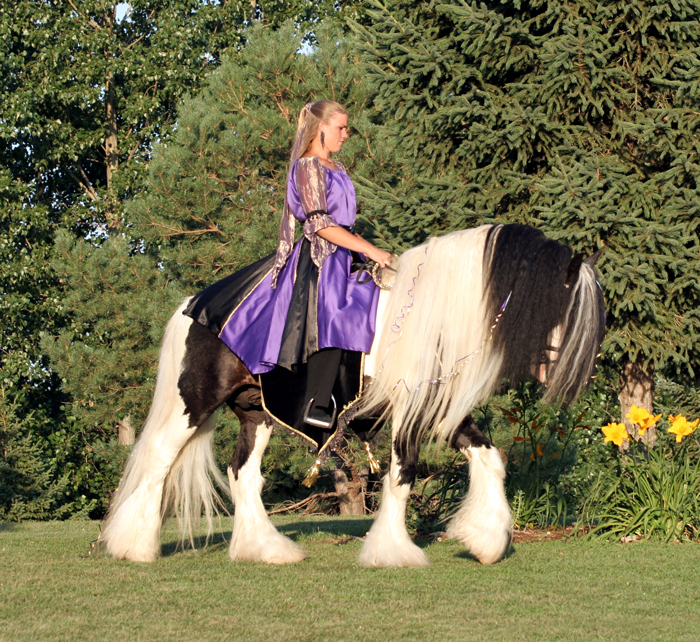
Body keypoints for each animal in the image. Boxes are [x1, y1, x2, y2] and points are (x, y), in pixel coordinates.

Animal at [100, 223, 605, 566]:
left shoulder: (441, 412)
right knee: (158, 460)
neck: (437, 314)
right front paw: (394, 552)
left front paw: (487, 540)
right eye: (566, 304)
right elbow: (402, 477)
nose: (585, 367)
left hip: (256, 414)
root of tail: (192, 307)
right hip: (192, 405)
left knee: (243, 474)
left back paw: (264, 549)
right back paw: (135, 547)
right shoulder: (409, 413)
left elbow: (489, 458)